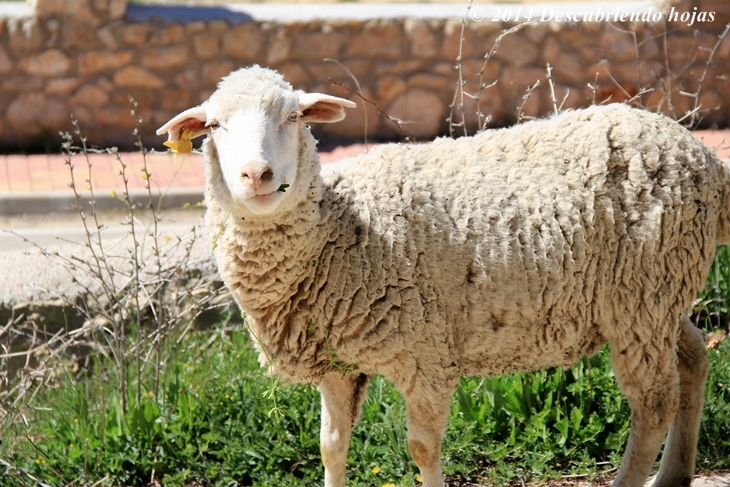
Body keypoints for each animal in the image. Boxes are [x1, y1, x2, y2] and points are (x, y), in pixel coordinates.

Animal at [157, 65, 730, 487]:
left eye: (293, 115)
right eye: (213, 126)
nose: (257, 175)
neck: (343, 230)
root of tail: (701, 155)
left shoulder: (425, 355)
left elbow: (422, 449)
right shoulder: (338, 362)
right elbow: (331, 447)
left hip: (641, 298)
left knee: (653, 403)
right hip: (653, 295)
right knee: (695, 358)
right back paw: (674, 474)